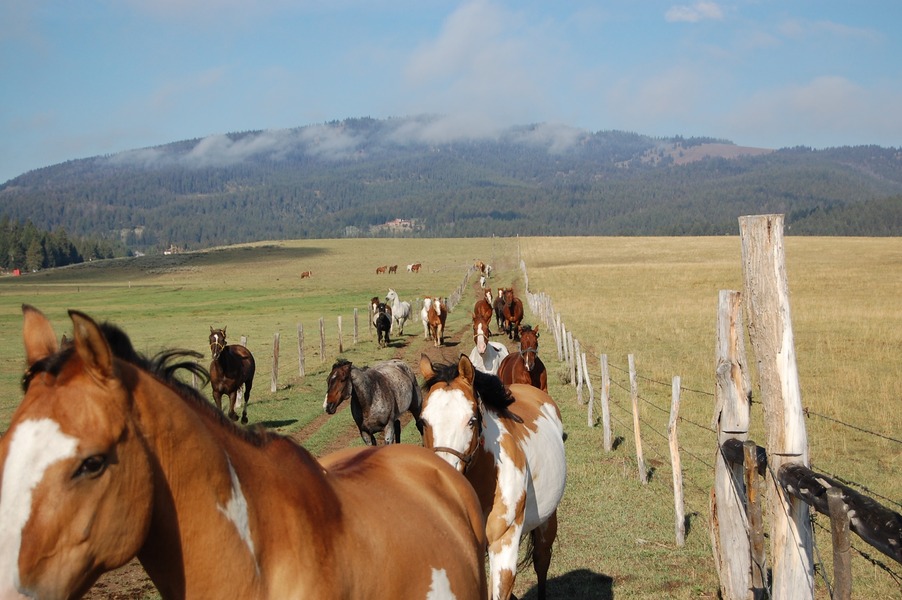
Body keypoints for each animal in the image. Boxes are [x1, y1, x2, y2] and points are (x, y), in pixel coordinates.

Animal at [419, 354, 567, 600]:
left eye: (471, 420)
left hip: (548, 519)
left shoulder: (503, 545)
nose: (444, 478)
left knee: (542, 559)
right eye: (422, 422)